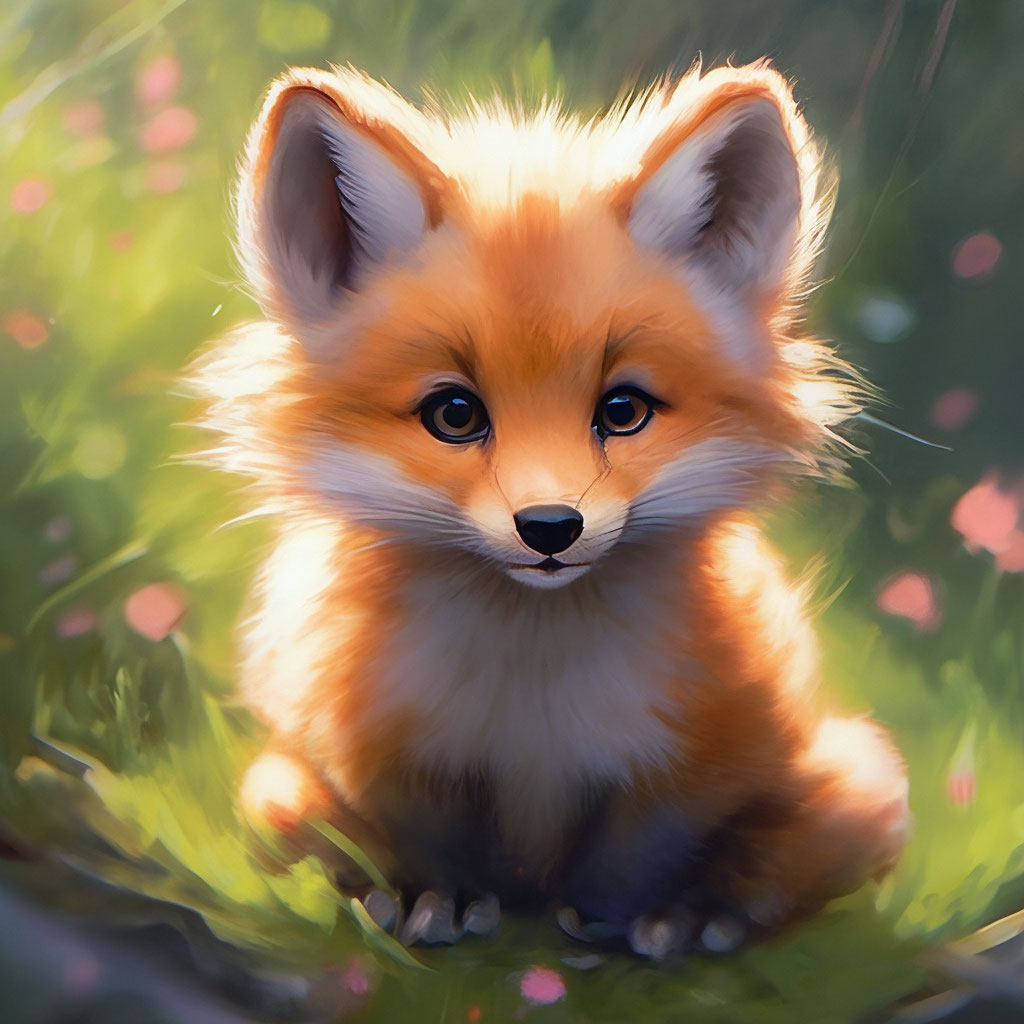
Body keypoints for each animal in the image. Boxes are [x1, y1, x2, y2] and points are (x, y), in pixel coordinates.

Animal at [194, 60, 909, 957]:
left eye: (624, 410)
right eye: (454, 415)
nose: (549, 528)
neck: (532, 698)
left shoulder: (689, 764)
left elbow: (641, 855)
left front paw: (638, 917)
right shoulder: (391, 758)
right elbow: (426, 840)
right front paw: (440, 897)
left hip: (862, 788)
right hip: (274, 798)